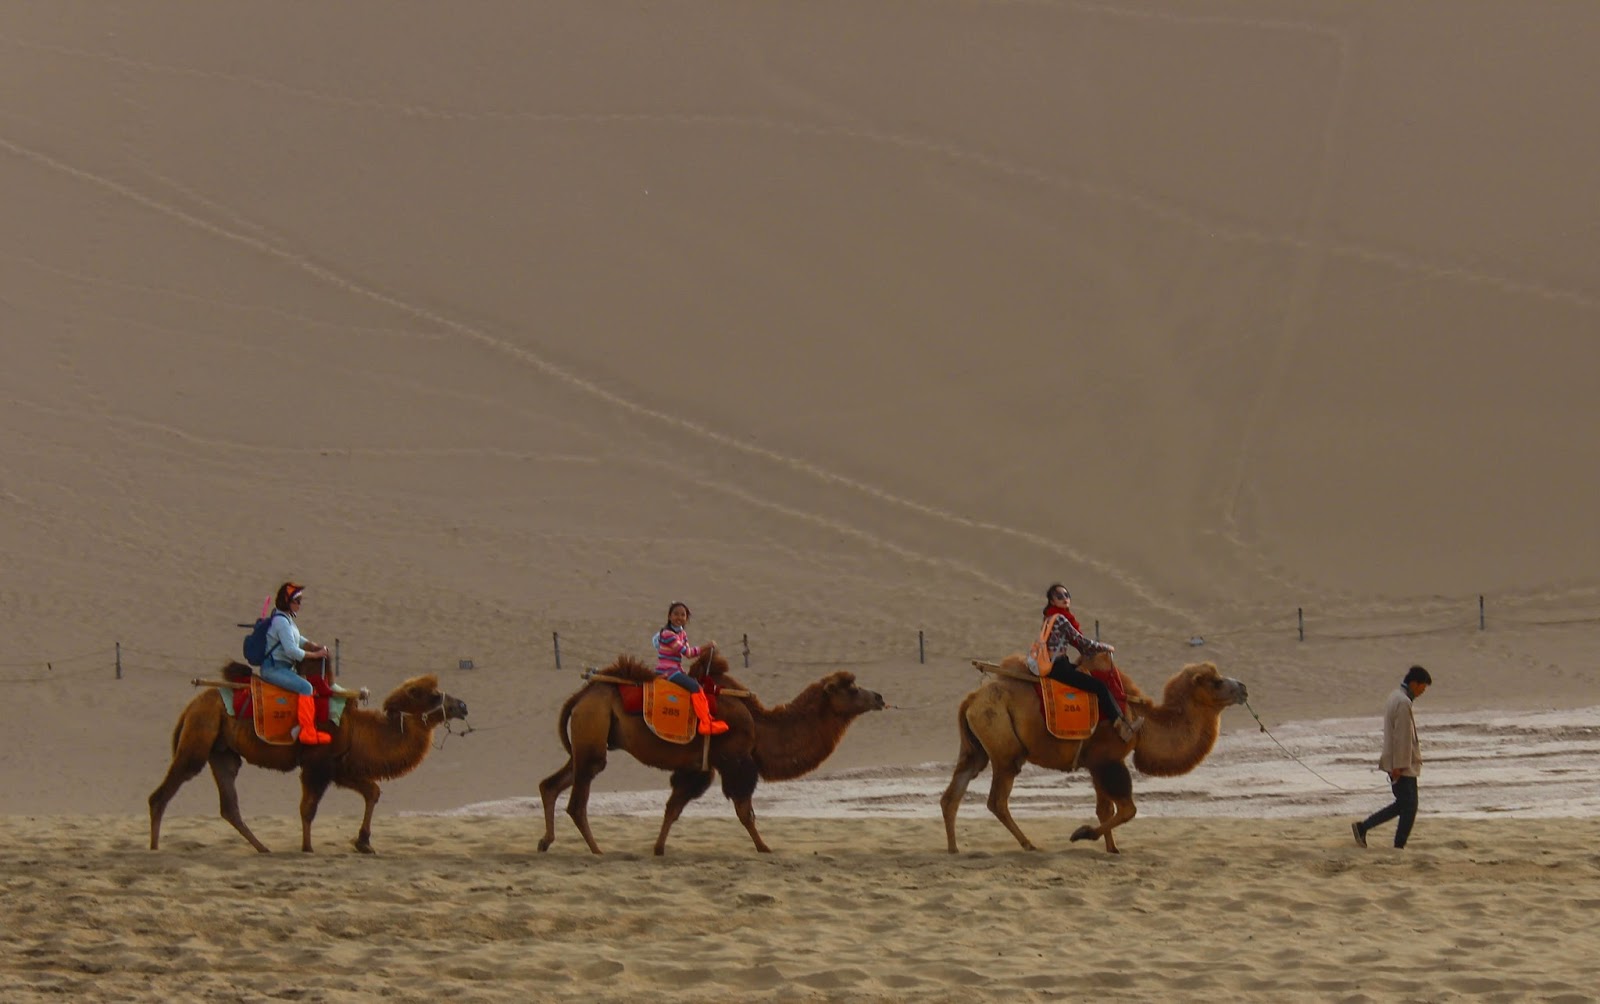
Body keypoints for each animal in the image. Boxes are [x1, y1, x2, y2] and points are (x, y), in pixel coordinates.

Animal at [148, 662, 469, 854]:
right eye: (433, 695)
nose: (463, 705)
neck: (361, 729)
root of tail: (191, 706)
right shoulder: (317, 764)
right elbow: (308, 808)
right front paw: (307, 847)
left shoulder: (341, 767)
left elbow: (372, 792)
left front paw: (363, 843)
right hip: (199, 738)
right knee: (165, 790)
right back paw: (154, 846)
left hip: (222, 752)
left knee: (229, 803)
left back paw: (262, 847)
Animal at [537, 648, 885, 855]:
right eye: (852, 689)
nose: (880, 697)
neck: (760, 725)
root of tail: (583, 693)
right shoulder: (735, 761)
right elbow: (745, 811)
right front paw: (764, 847)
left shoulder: (697, 767)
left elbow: (673, 807)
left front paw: (658, 848)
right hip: (594, 727)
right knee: (578, 799)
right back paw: (596, 850)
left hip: (588, 737)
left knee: (553, 783)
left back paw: (546, 841)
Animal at [941, 654, 1247, 854]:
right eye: (1216, 682)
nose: (1243, 687)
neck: (1143, 721)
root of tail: (971, 699)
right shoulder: (1108, 760)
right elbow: (1127, 809)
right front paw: (1082, 834)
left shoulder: (1096, 763)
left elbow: (1104, 809)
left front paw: (1112, 849)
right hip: (1004, 750)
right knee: (997, 799)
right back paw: (1028, 844)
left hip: (975, 749)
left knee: (954, 792)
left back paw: (954, 848)